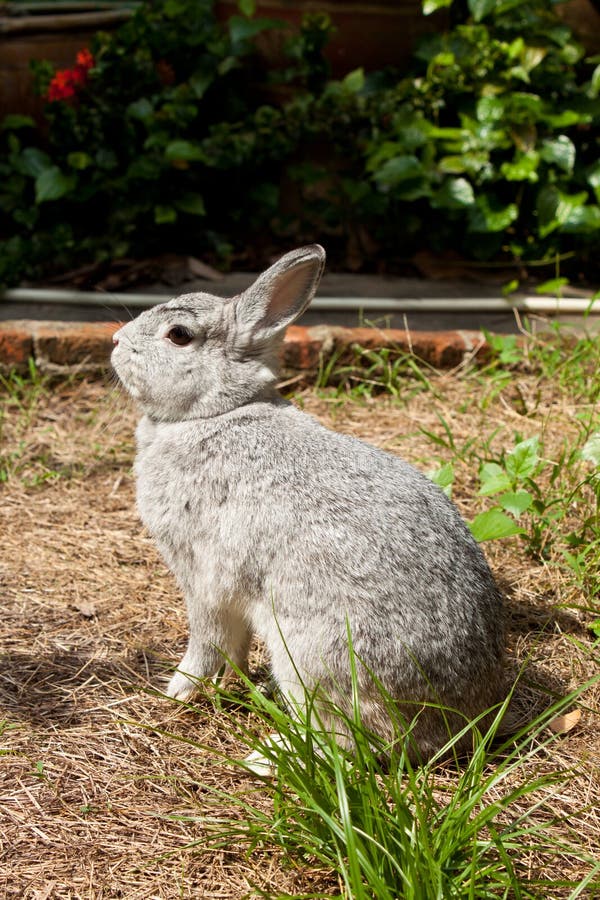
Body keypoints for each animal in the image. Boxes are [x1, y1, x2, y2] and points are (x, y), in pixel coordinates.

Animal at [111, 245, 506, 761]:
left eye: (178, 335)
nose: (115, 341)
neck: (216, 413)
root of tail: (458, 725)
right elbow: (234, 645)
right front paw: (228, 684)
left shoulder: (202, 576)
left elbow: (207, 638)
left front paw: (178, 689)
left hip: (312, 657)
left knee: (354, 741)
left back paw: (267, 757)